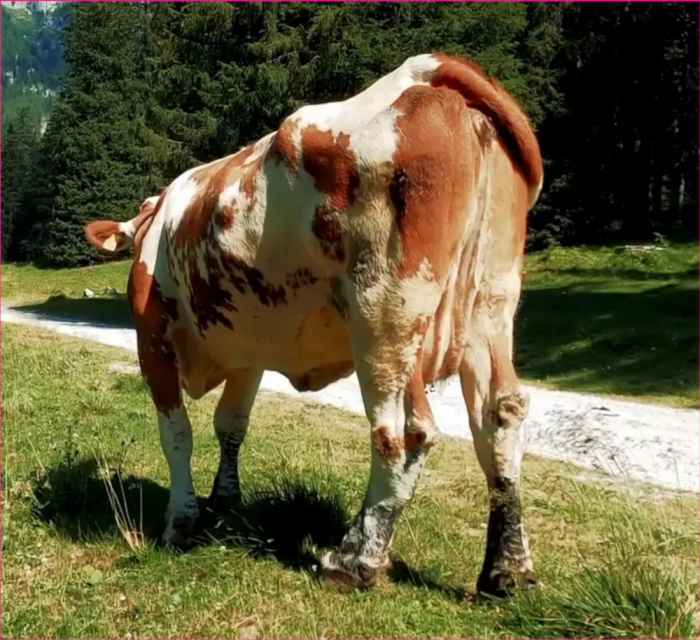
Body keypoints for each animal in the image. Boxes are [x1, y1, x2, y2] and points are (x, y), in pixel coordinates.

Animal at [85, 53, 543, 597]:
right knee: (501, 414)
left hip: (385, 314)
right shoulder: (250, 351)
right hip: (490, 305)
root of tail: (429, 74)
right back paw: (506, 570)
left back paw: (355, 560)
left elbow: (177, 433)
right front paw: (224, 501)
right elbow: (230, 425)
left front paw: (181, 520)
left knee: (402, 431)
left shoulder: (151, 339)